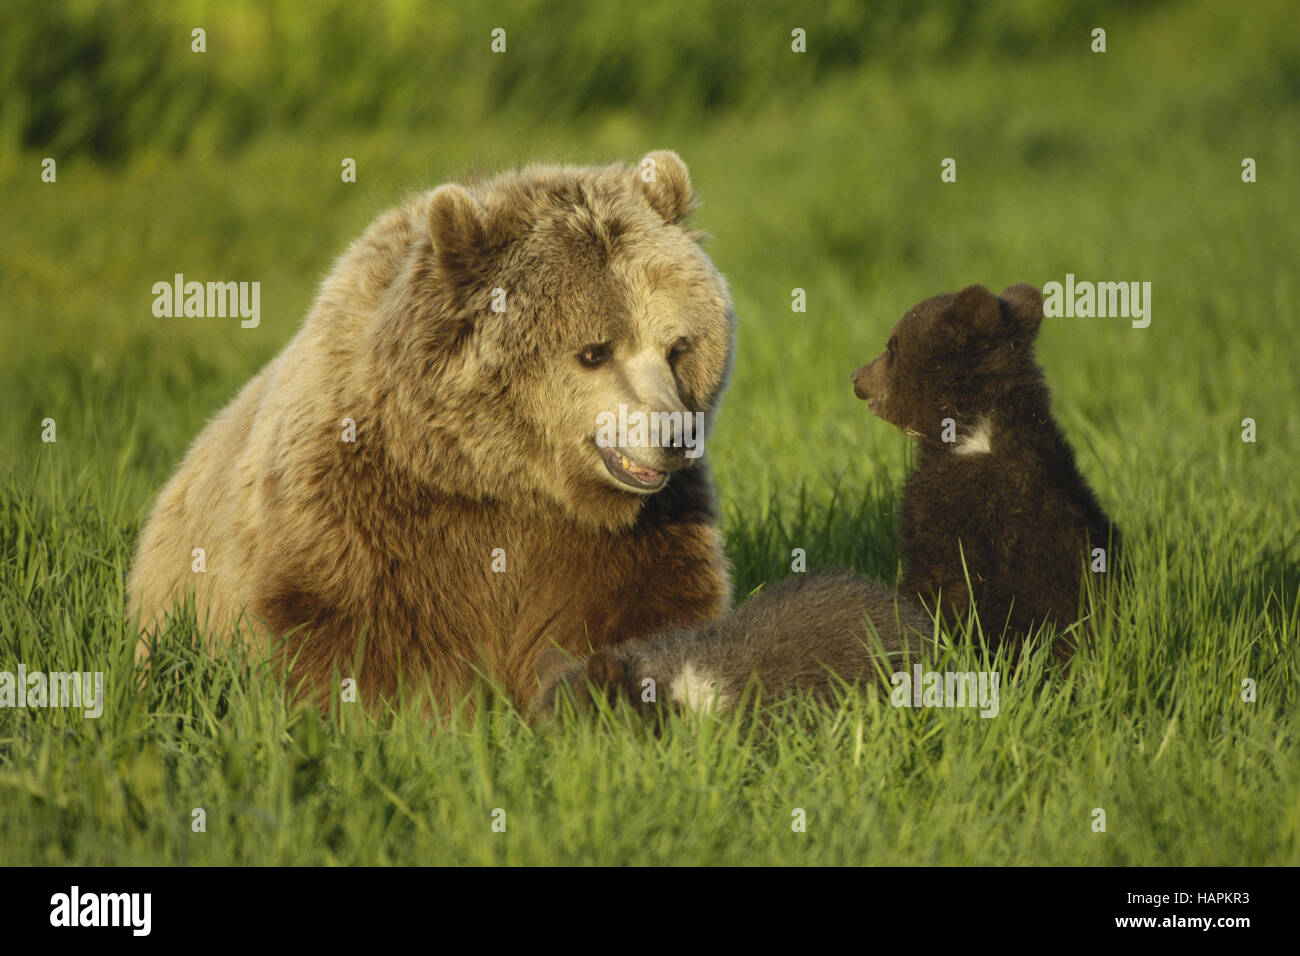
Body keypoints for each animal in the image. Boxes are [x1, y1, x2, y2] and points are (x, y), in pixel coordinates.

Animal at [128, 150, 736, 713]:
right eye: (594, 351)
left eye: (677, 347)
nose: (675, 435)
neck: (504, 479)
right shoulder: (364, 508)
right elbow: (350, 633)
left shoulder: (625, 538)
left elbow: (646, 609)